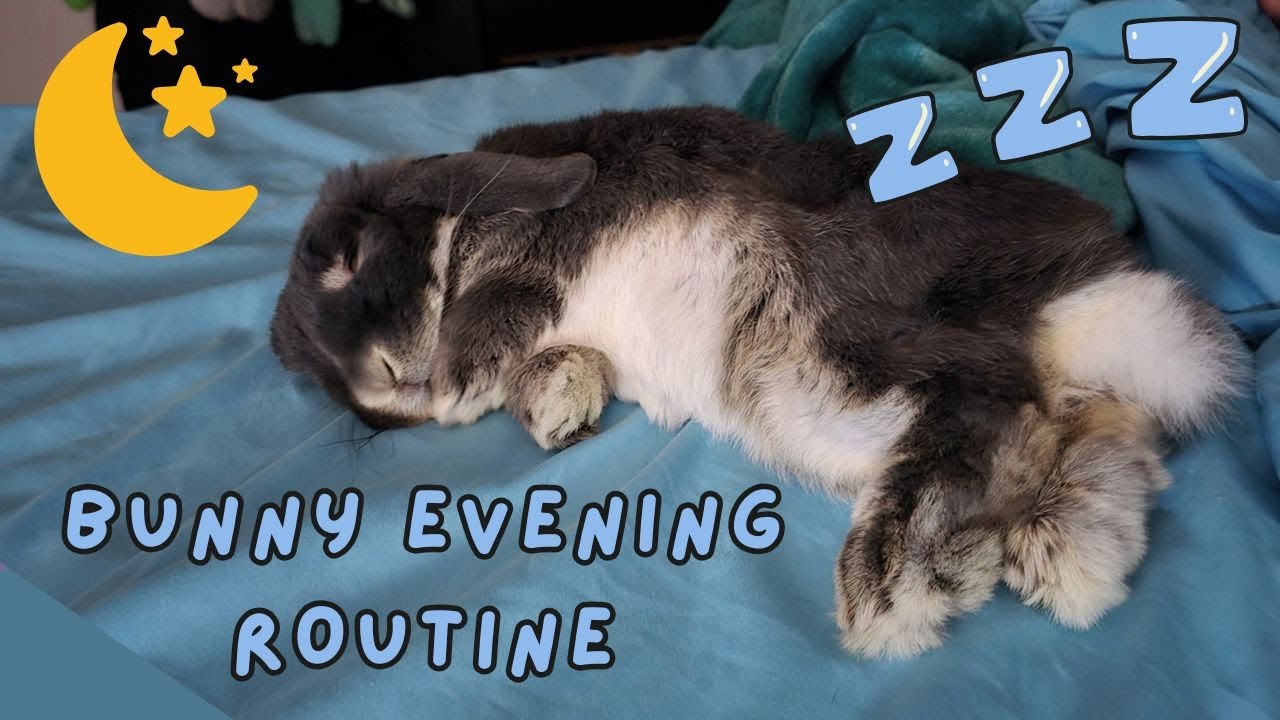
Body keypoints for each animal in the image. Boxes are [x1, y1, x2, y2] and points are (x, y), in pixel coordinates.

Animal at [270, 105, 1244, 657]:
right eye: (338, 399)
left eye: (351, 256)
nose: (390, 388)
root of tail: (1067, 293)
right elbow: (554, 360)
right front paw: (557, 403)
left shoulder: (542, 239)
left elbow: (509, 291)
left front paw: (467, 378)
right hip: (800, 400)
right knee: (1093, 427)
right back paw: (1070, 554)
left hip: (820, 344)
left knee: (992, 396)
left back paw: (894, 579)